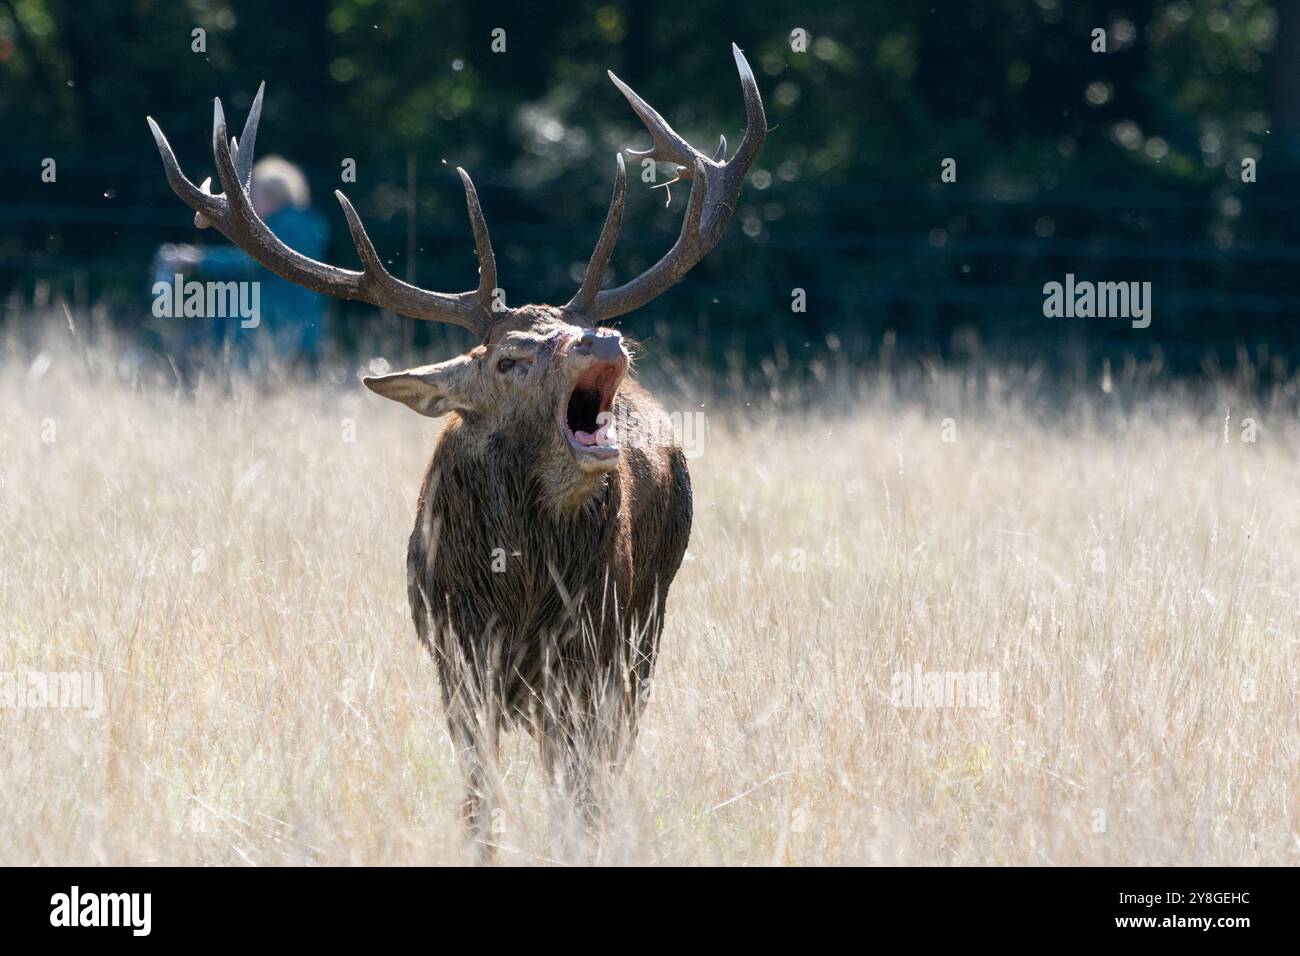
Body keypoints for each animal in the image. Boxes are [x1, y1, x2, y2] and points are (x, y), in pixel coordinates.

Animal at [147, 43, 766, 855]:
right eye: (509, 359)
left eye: (575, 334)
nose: (604, 338)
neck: (519, 589)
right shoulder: (454, 657)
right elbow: (478, 801)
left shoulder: (591, 649)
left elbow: (579, 793)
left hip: (646, 625)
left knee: (601, 764)